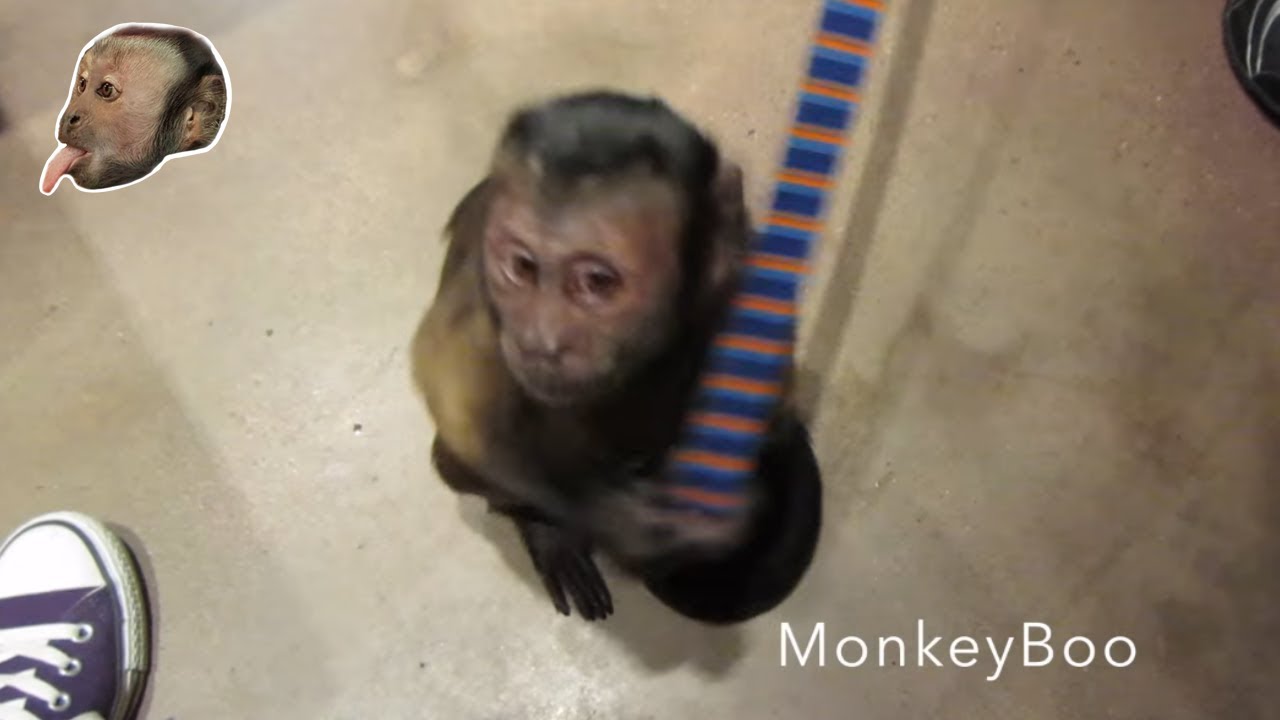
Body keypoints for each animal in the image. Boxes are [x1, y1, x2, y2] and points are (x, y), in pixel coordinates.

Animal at [412, 90, 822, 623]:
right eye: (521, 267)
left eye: (597, 282)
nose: (540, 339)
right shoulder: (478, 307)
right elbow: (462, 413)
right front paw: (644, 532)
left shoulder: (739, 268)